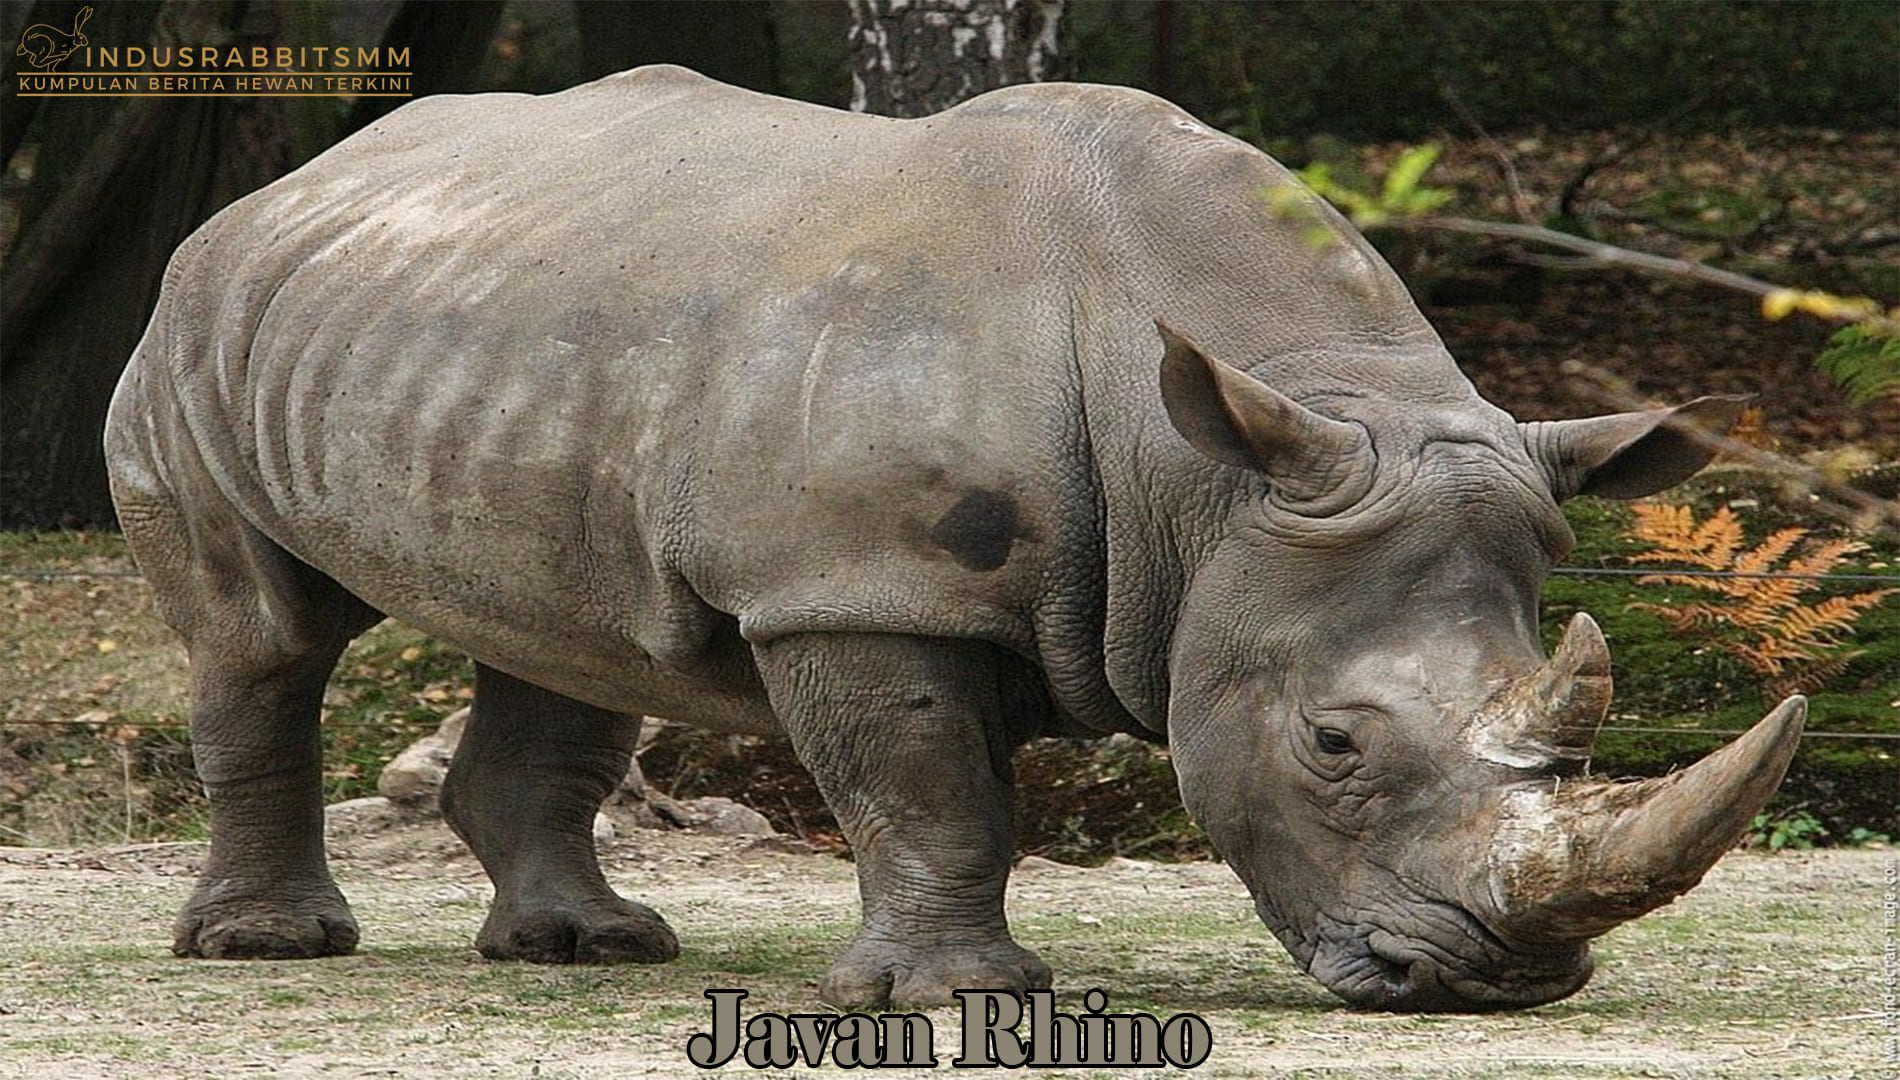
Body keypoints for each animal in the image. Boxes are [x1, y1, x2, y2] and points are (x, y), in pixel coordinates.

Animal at [106, 66, 1803, 1013]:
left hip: (497, 320)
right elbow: (926, 788)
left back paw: (590, 951)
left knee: (571, 639)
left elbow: (951, 794)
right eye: (1332, 744)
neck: (1216, 474)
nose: (1496, 981)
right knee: (264, 638)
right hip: (190, 327)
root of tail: (297, 181)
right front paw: (954, 1000)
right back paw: (268, 950)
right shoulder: (859, 585)